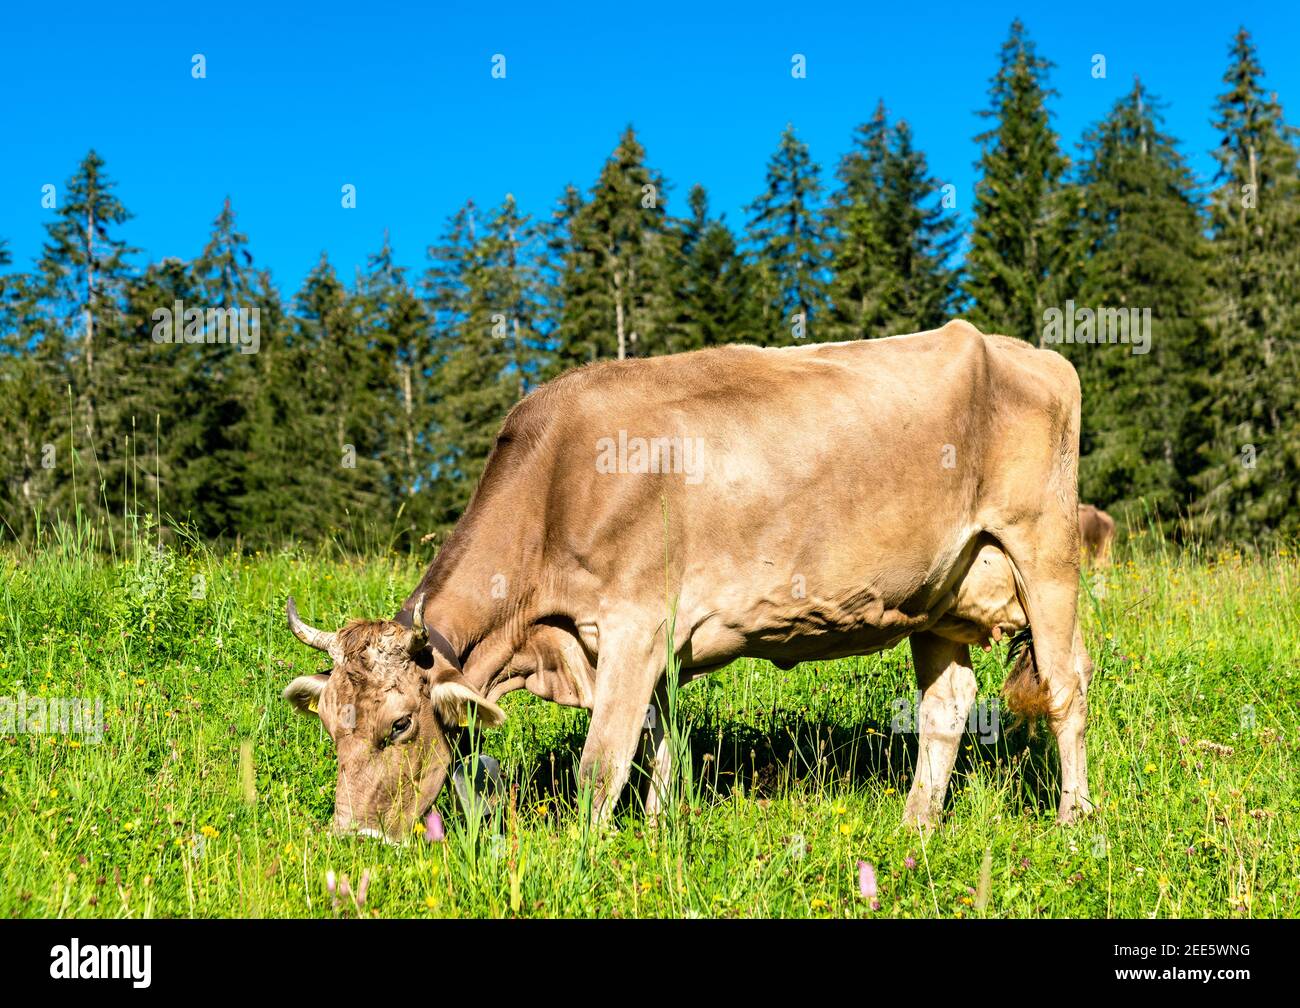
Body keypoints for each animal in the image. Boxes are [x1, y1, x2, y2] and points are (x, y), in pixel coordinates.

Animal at [281, 319, 1094, 842]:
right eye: (327, 726)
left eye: (400, 724)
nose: (351, 841)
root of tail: (1026, 352)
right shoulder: (662, 647)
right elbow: (662, 749)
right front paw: (657, 836)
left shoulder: (632, 626)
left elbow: (600, 766)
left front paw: (585, 859)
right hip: (937, 596)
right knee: (946, 708)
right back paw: (916, 829)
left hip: (1043, 549)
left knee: (1066, 683)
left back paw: (1075, 821)